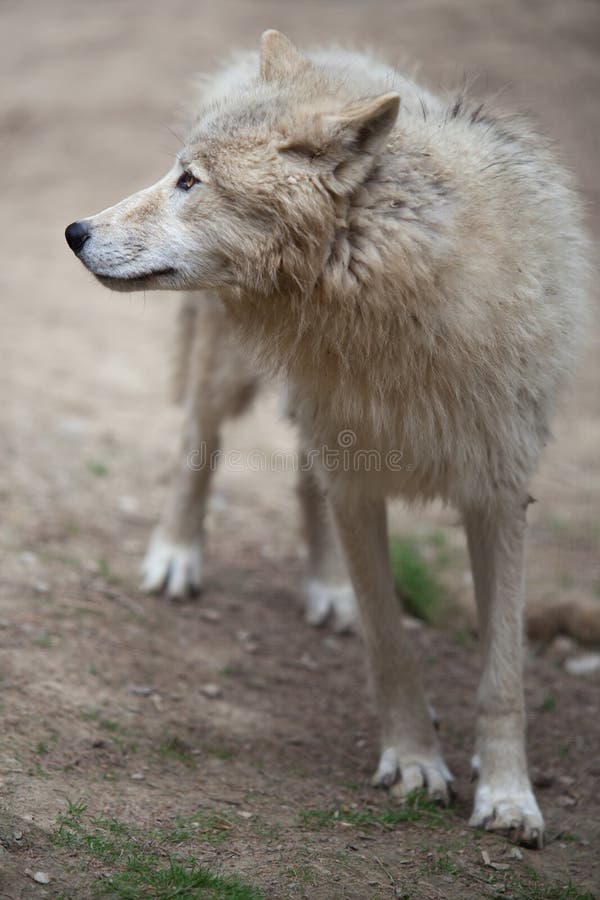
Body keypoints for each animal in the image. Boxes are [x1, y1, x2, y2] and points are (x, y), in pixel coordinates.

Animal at [65, 31, 591, 847]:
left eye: (189, 181)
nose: (75, 231)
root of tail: (320, 46)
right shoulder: (358, 485)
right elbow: (391, 647)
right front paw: (415, 763)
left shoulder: (499, 495)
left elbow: (502, 673)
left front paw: (508, 798)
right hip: (231, 373)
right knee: (196, 445)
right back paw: (177, 556)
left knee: (300, 479)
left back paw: (327, 587)